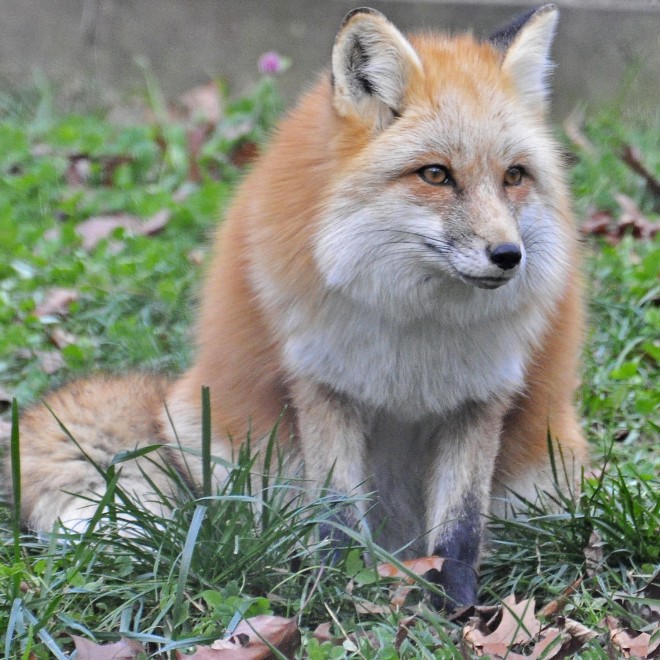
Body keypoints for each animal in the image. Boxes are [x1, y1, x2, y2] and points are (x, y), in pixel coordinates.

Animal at [6, 5, 588, 608]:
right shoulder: (323, 384)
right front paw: (337, 593)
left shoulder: (481, 398)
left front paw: (457, 606)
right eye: (435, 174)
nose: (508, 256)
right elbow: (336, 515)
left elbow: (461, 527)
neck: (416, 330)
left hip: (554, 477)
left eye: (514, 175)